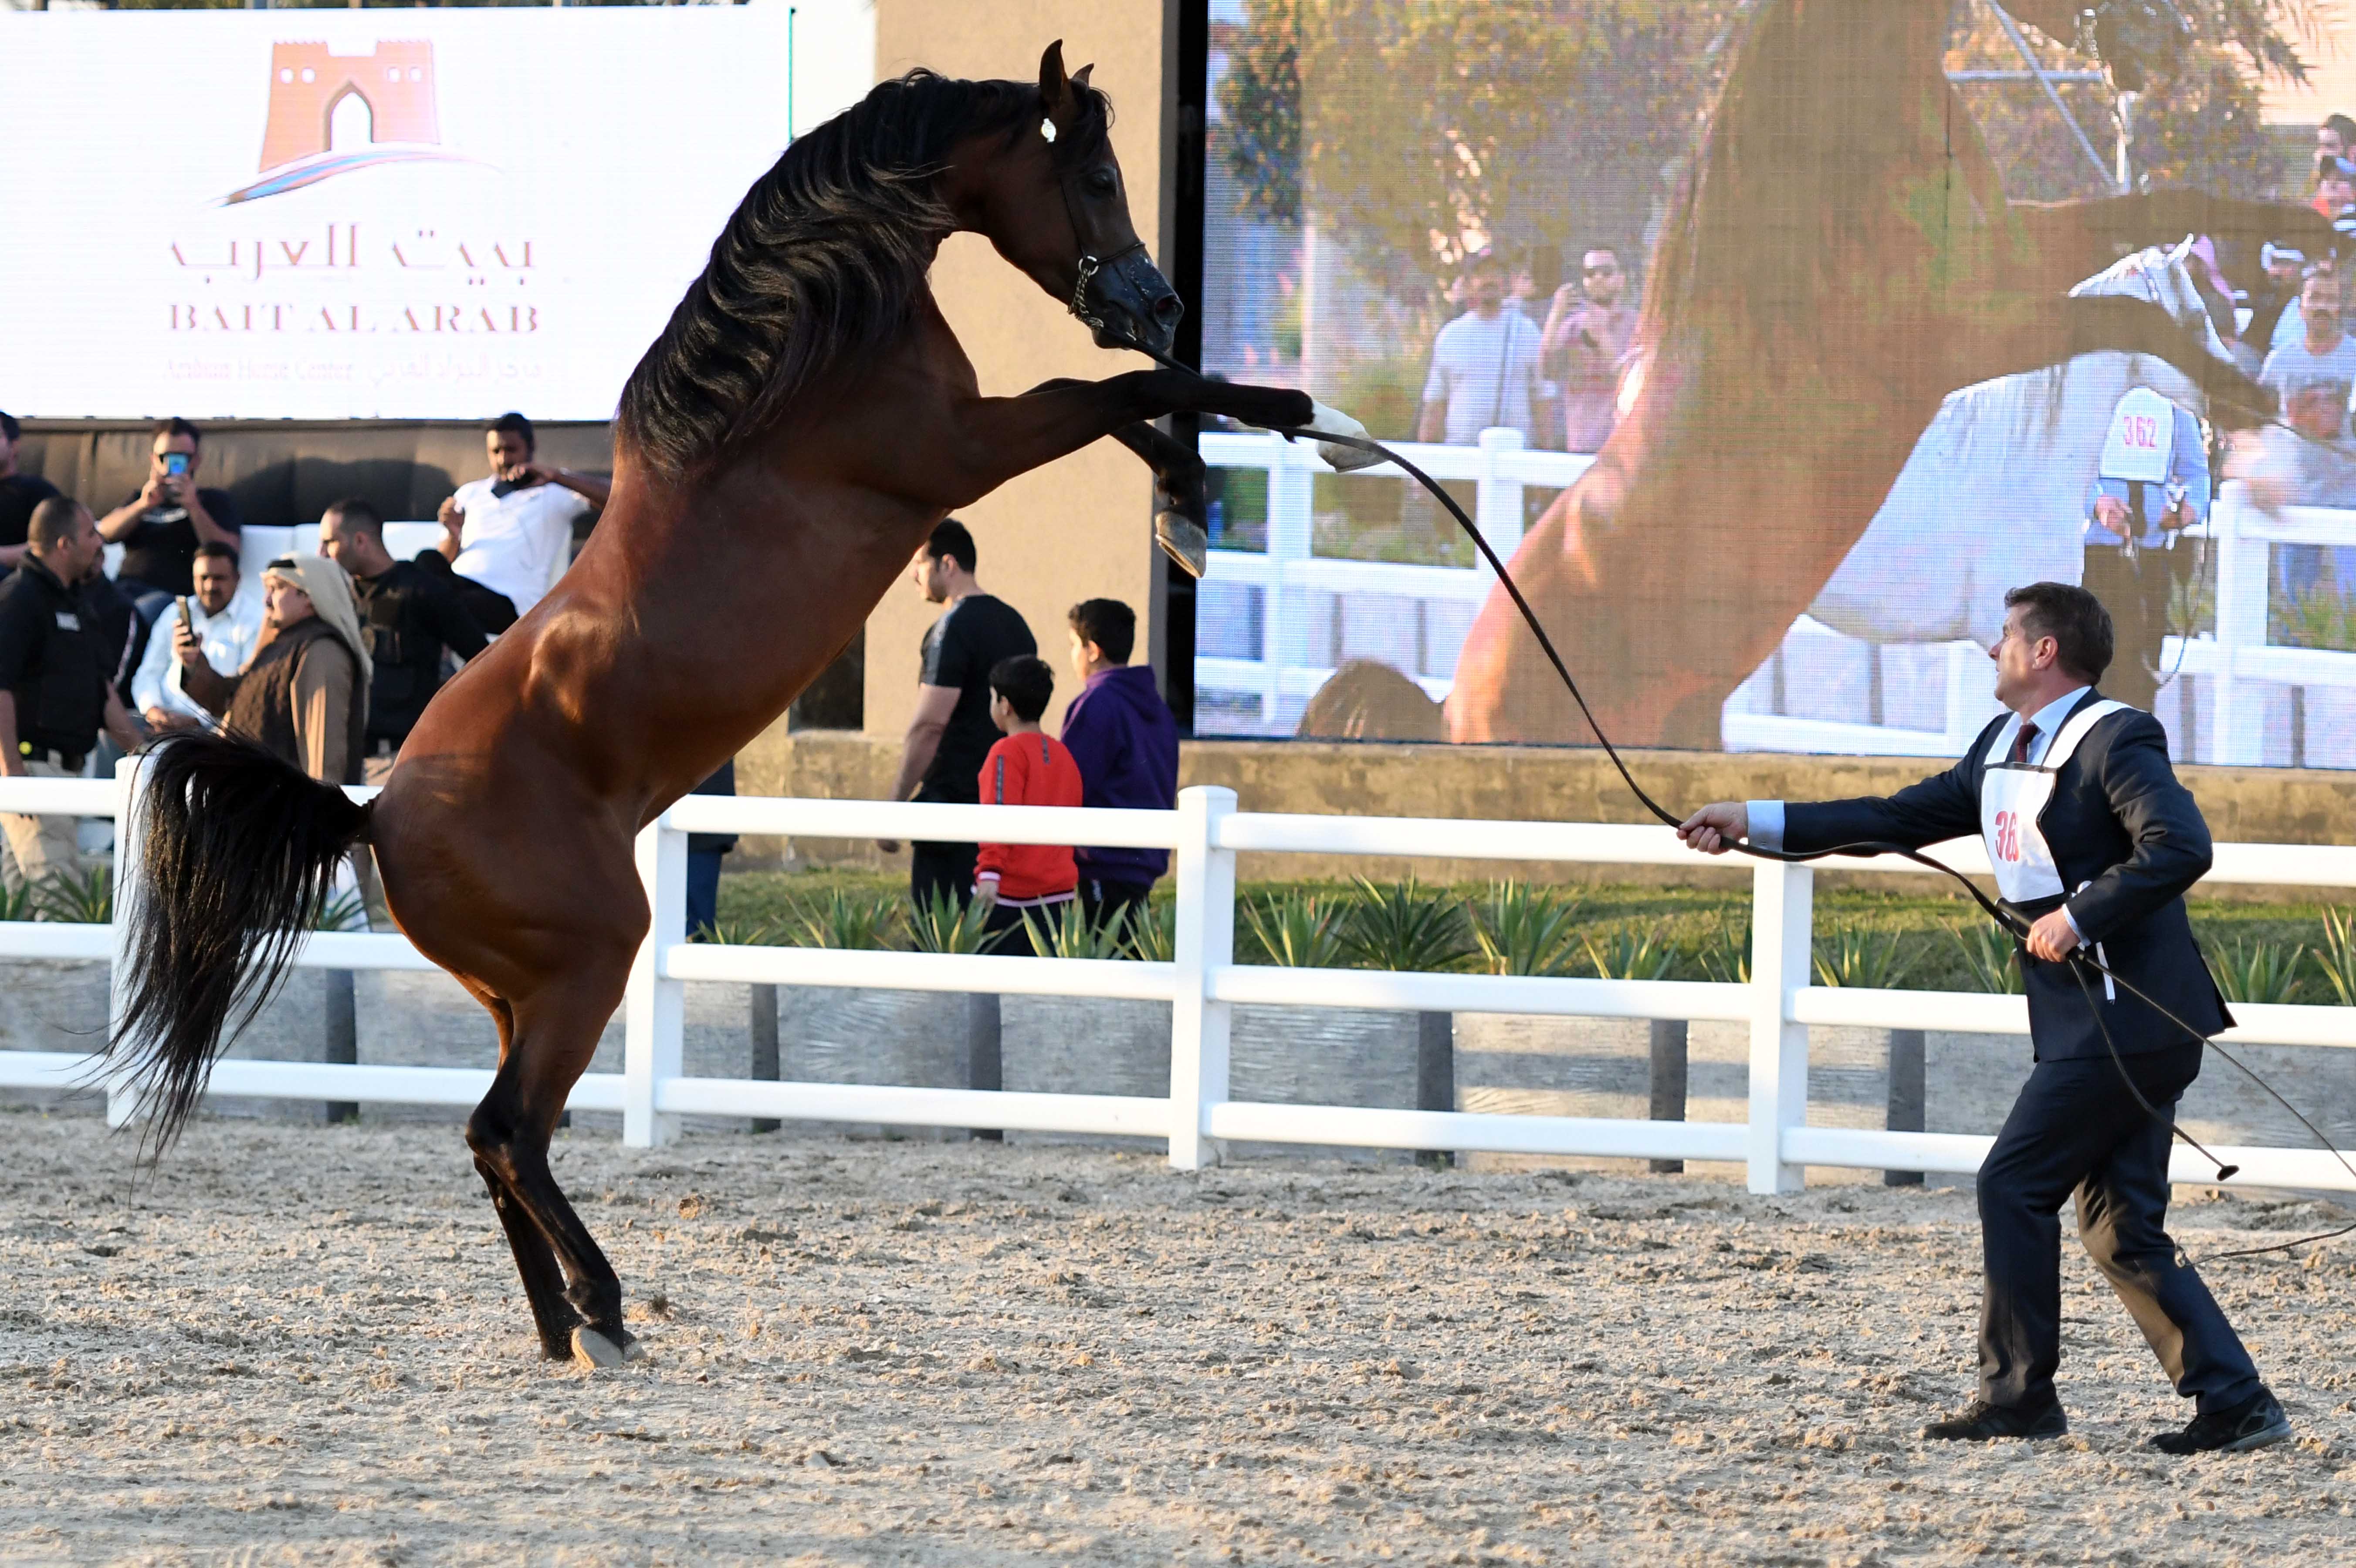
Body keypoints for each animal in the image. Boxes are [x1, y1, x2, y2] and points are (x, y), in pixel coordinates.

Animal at [108, 44, 1315, 1368]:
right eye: (1095, 175)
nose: (1157, 296)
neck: (800, 356)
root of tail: (371, 811)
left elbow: (1125, 397)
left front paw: (1197, 490)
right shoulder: (961, 449)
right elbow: (1114, 392)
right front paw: (1254, 437)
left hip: (512, 992)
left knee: (496, 1139)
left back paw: (561, 1326)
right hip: (590, 964)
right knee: (508, 1131)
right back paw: (602, 1309)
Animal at [1443, 0, 2335, 749]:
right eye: (2204, 304)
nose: (2165, 41)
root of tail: (1460, 699)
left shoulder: (2011, 256)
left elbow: (2154, 204)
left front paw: (2318, 233)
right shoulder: (1963, 329)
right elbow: (2124, 314)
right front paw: (2251, 404)